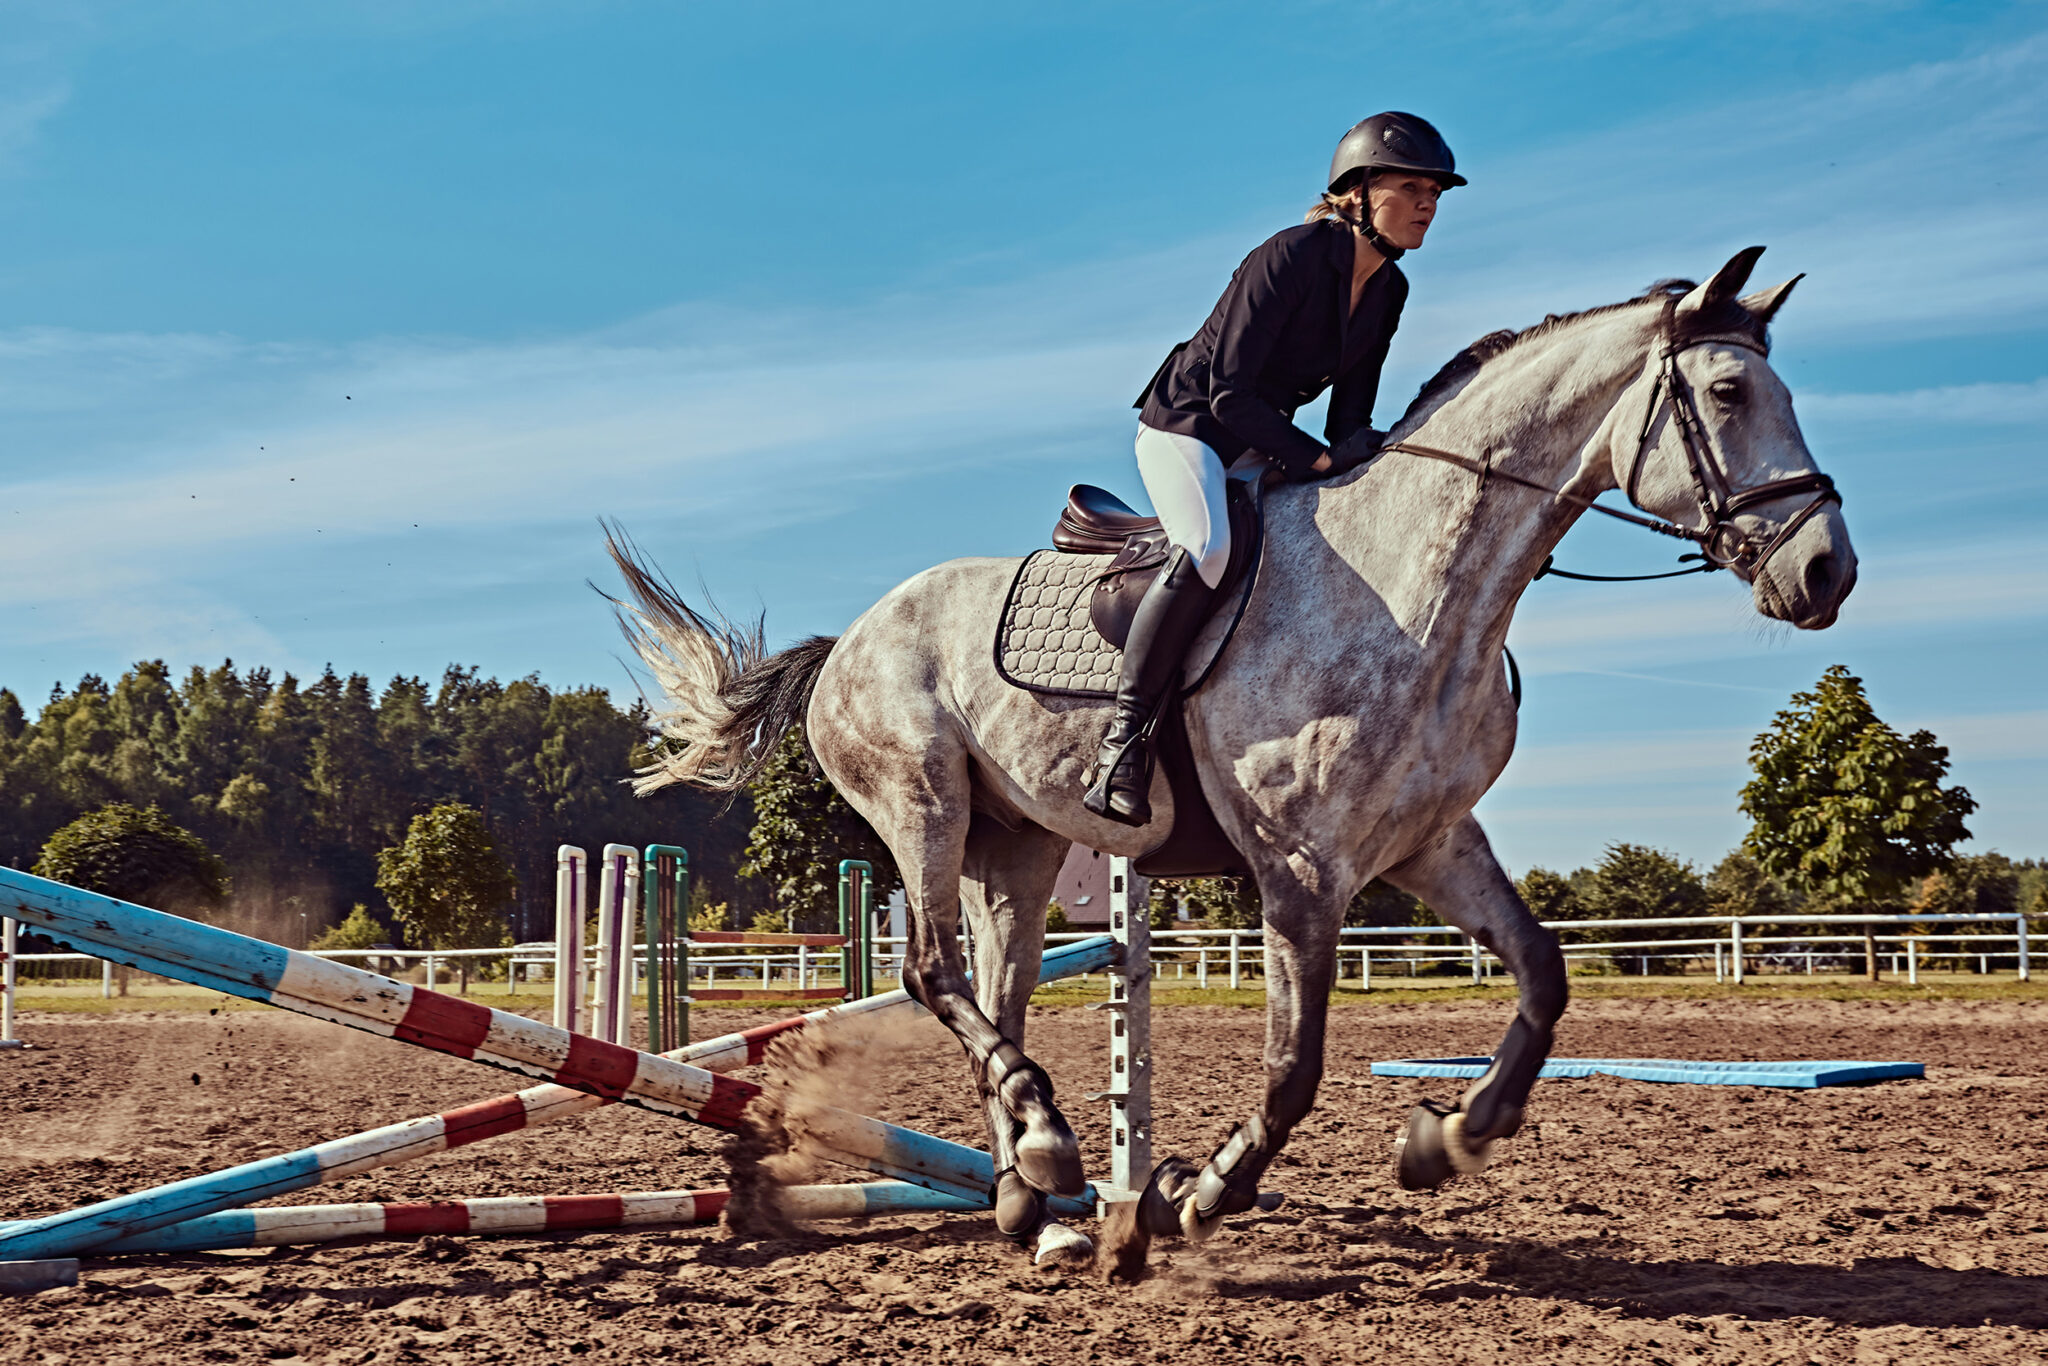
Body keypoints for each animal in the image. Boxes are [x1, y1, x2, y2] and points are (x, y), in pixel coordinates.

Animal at [607, 246, 1855, 1272]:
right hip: (923, 804)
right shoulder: (1300, 870)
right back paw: (1051, 1155)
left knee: (995, 987)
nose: (1824, 572)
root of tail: (847, 638)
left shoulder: (1427, 845)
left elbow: (1542, 978)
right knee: (930, 973)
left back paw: (1032, 1188)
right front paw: (1193, 1196)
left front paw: (1446, 1139)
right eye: (1730, 393)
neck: (1423, 593)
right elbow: (1292, 1065)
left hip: (1019, 842)